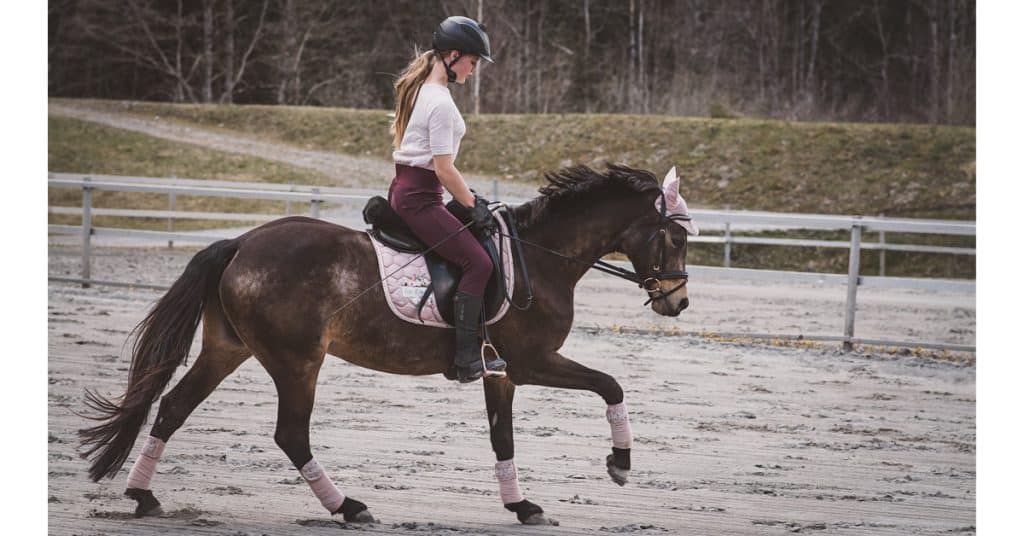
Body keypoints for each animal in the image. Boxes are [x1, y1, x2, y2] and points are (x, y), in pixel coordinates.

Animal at [78, 164, 697, 526]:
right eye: (674, 235)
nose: (678, 302)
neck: (542, 258)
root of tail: (241, 243)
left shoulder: (501, 372)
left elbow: (502, 439)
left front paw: (520, 506)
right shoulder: (531, 362)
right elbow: (610, 384)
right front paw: (620, 464)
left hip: (227, 349)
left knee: (173, 407)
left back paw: (143, 496)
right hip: (297, 360)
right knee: (290, 434)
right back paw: (348, 507)